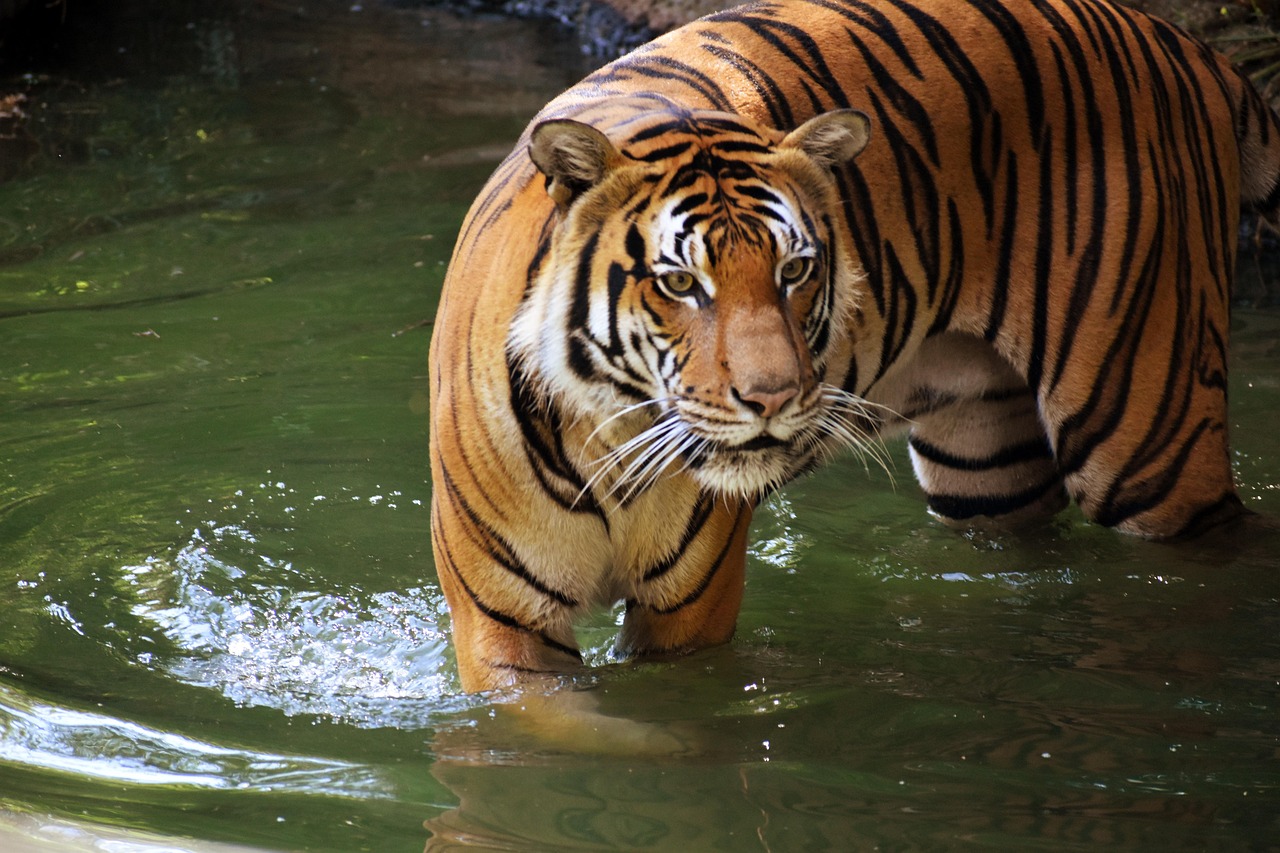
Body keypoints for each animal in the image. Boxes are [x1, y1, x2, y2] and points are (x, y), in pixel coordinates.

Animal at [428, 0, 1280, 692]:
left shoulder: (690, 613)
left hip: (1142, 432)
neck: (616, 437)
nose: (772, 399)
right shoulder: (507, 623)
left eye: (795, 270)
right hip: (984, 458)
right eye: (679, 283)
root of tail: (1181, 44)